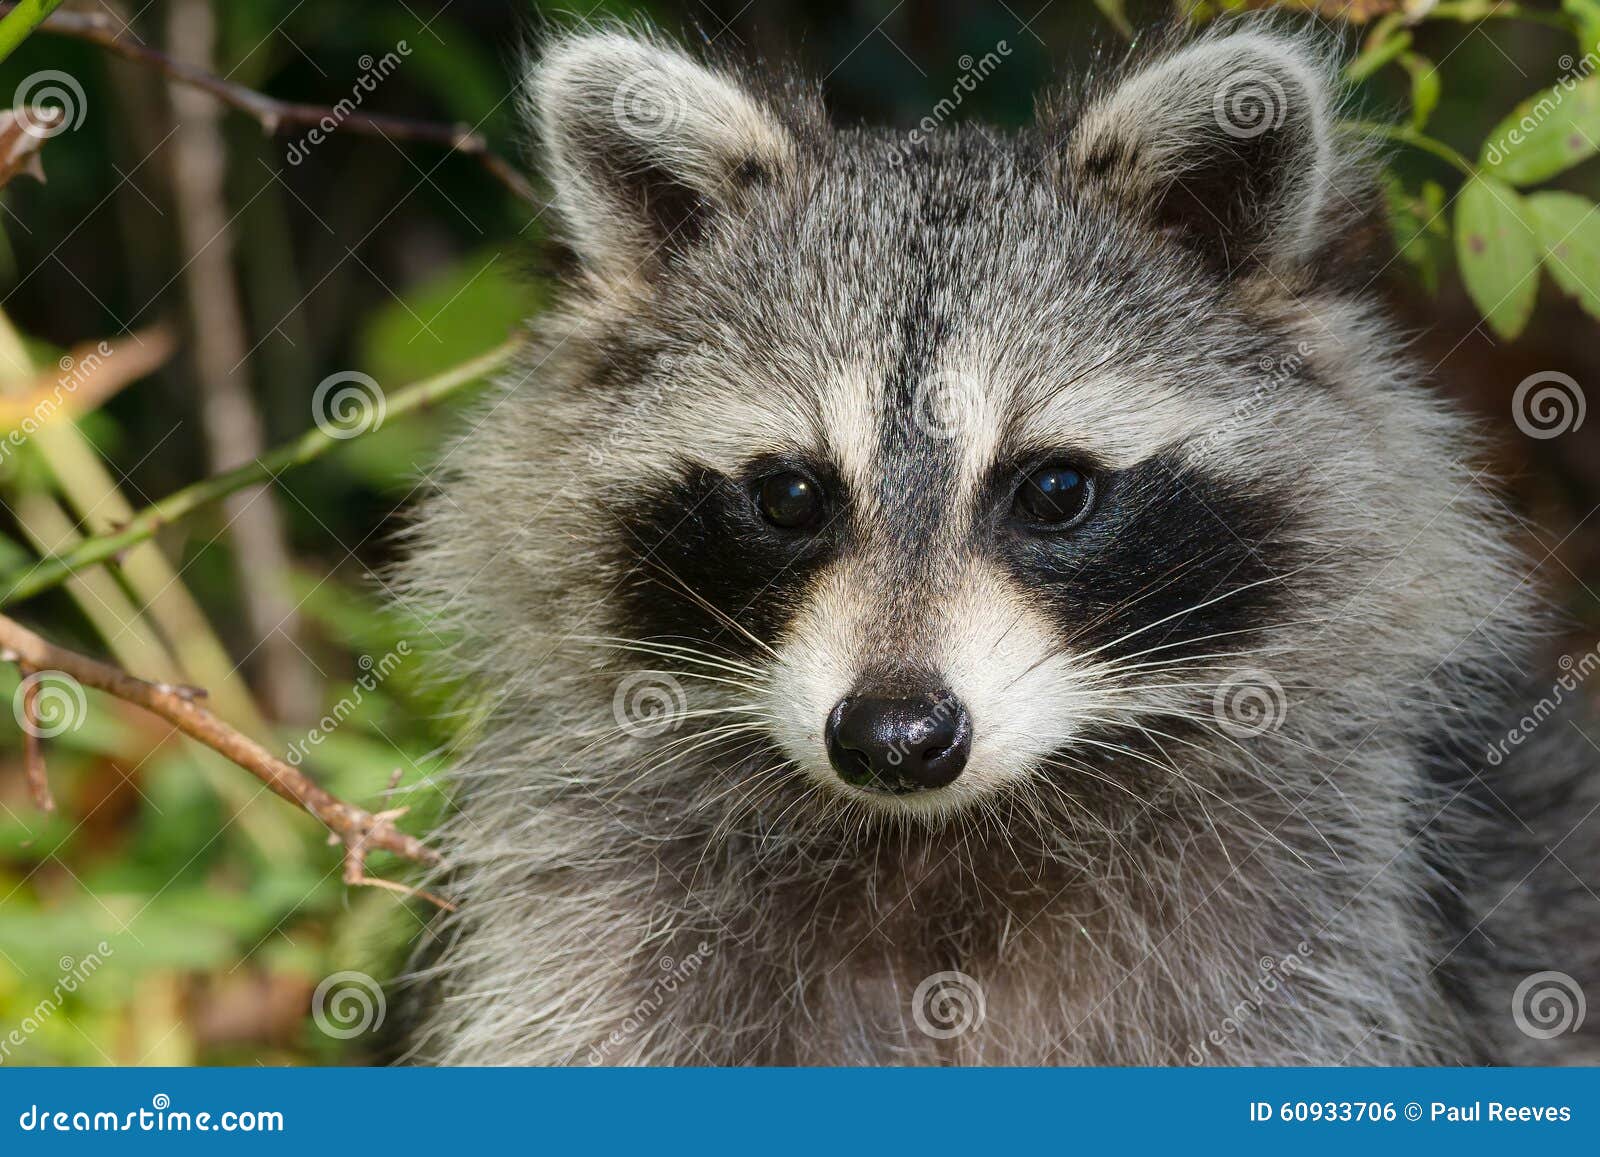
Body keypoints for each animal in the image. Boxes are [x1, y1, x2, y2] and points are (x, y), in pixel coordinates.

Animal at [397, 18, 1600, 1065]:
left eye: (1054, 489)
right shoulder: (600, 929)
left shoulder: (1313, 938)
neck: (937, 843)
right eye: (788, 494)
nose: (894, 737)